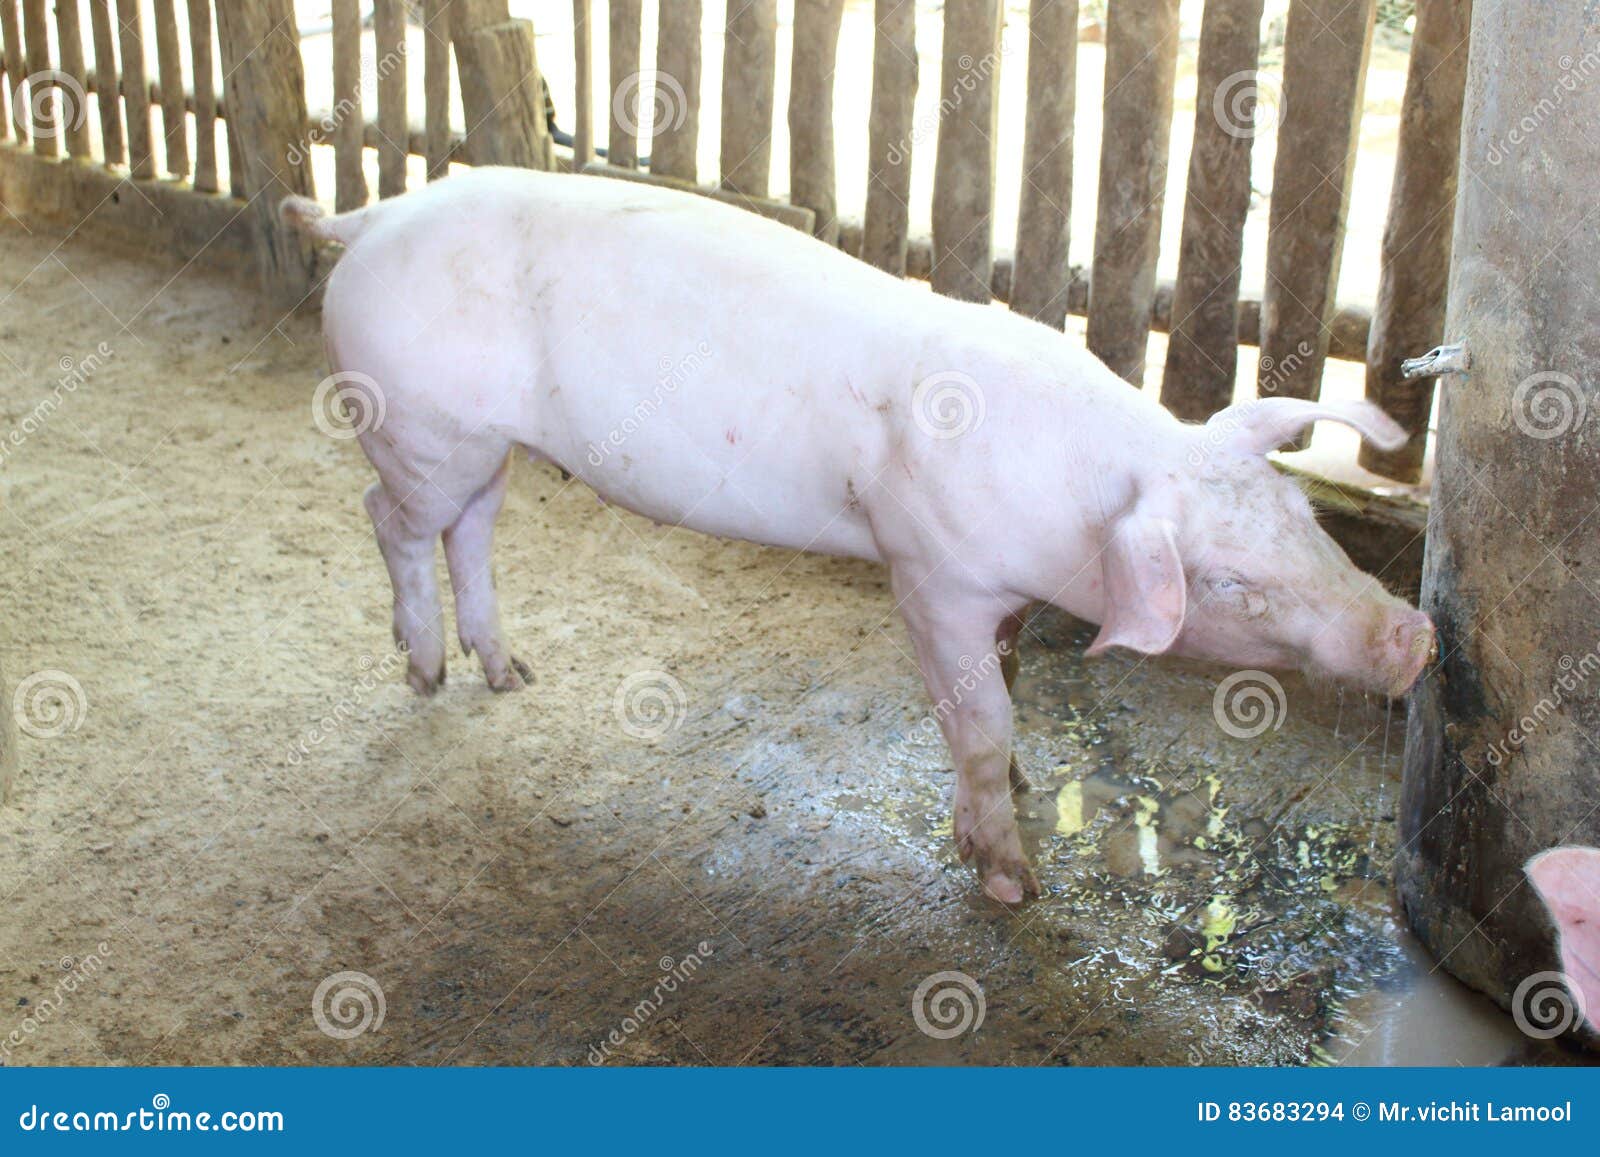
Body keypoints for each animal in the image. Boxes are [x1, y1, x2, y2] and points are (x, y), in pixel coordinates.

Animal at [280, 167, 1434, 903]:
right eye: (1232, 583)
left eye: (1305, 519)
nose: (1415, 636)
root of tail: (370, 215)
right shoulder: (931, 572)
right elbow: (982, 718)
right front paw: (1011, 883)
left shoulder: (999, 594)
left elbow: (1007, 689)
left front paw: (1015, 797)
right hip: (417, 424)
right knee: (385, 520)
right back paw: (426, 673)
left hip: (480, 445)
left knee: (471, 529)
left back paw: (509, 673)